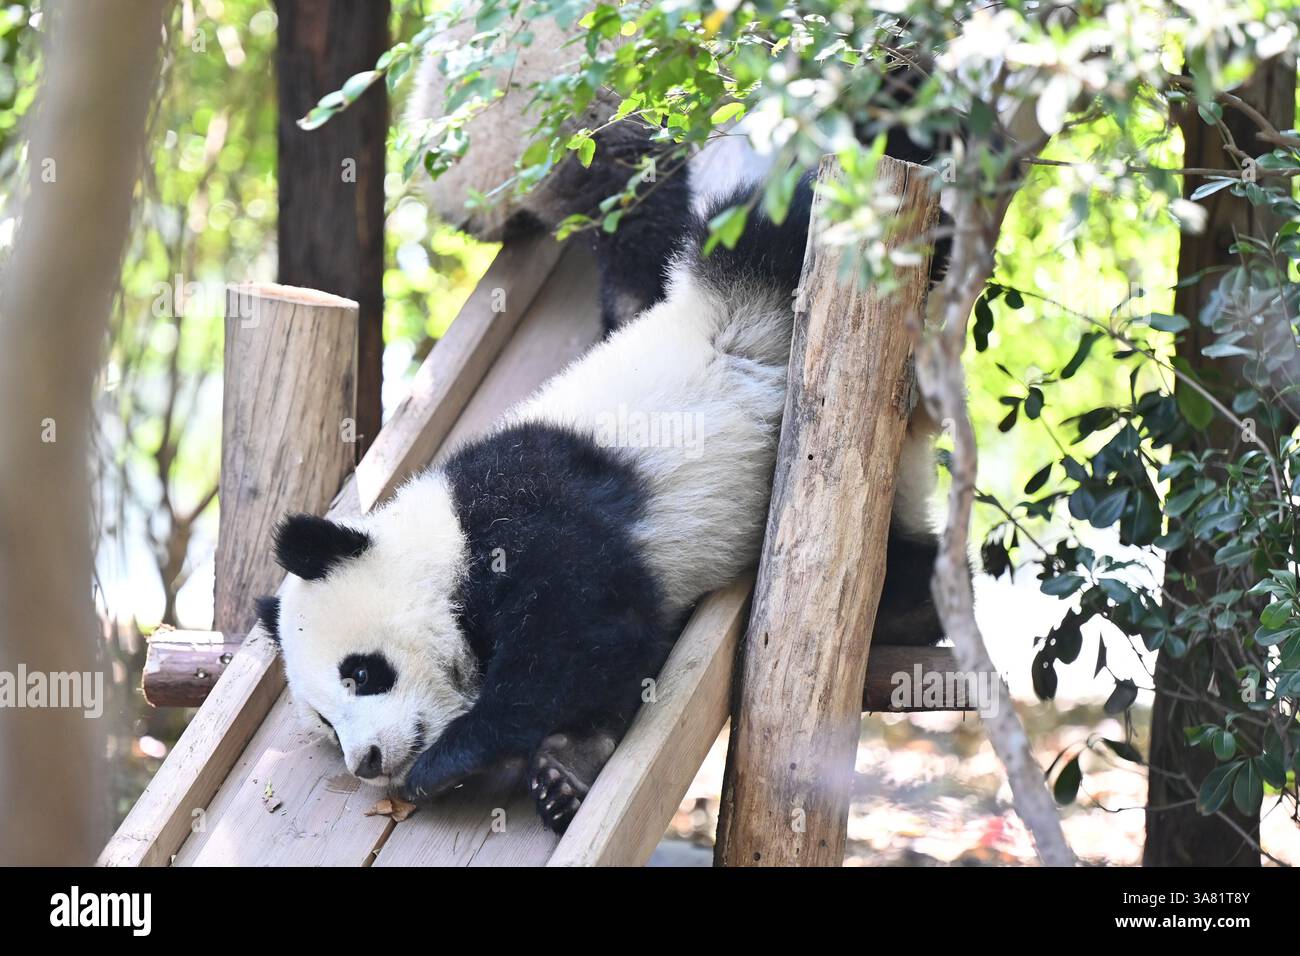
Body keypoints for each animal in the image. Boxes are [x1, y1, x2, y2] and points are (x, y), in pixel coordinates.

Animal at [254, 170, 946, 834]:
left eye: (361, 673)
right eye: (324, 721)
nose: (366, 762)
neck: (436, 540)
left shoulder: (522, 519)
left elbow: (582, 630)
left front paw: (450, 760)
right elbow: (614, 662)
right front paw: (565, 772)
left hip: (757, 288)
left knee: (771, 227)